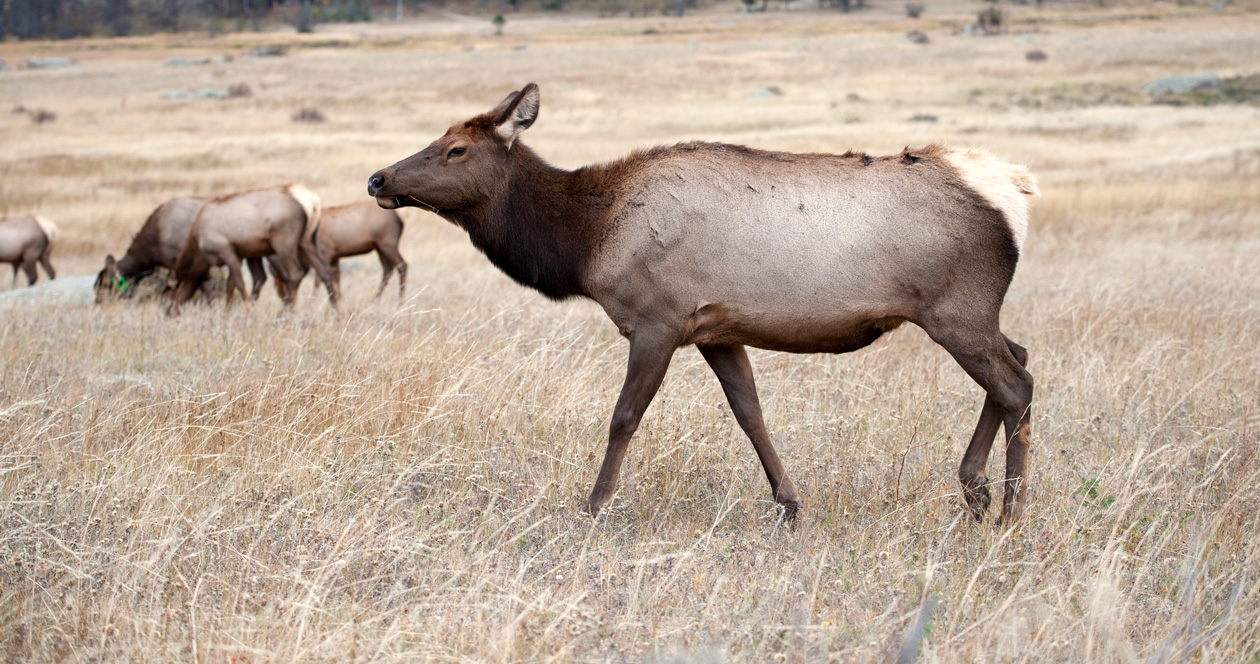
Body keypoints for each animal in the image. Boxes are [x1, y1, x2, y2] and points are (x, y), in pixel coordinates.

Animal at [165, 185, 338, 313]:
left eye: (171, 293)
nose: (168, 312)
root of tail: (313, 203)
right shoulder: (247, 253)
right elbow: (239, 283)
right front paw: (229, 312)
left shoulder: (226, 250)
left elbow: (239, 283)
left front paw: (246, 310)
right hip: (306, 241)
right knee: (325, 270)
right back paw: (336, 311)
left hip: (284, 242)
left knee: (295, 273)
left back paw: (284, 313)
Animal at [367, 84, 1039, 524]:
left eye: (456, 149)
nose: (378, 178)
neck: (584, 242)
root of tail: (1013, 189)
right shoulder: (718, 329)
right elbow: (750, 414)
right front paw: (789, 503)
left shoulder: (657, 320)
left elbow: (623, 416)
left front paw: (595, 504)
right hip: (970, 314)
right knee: (1021, 358)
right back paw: (975, 489)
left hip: (955, 310)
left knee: (1017, 384)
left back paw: (1008, 510)